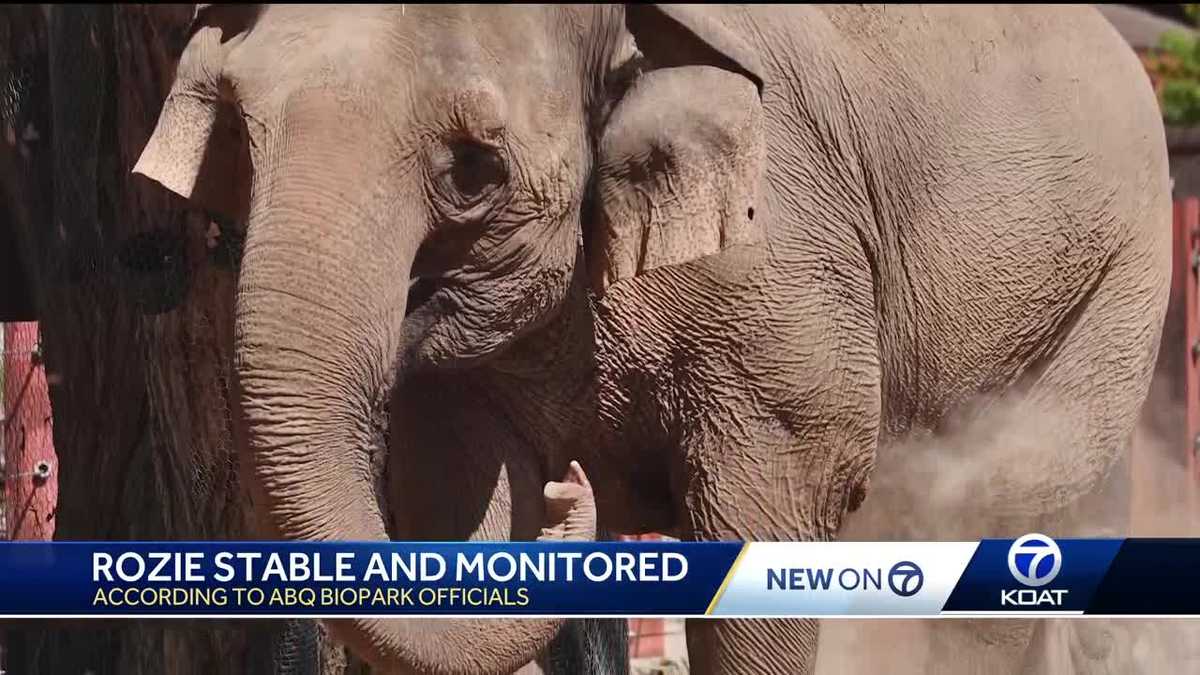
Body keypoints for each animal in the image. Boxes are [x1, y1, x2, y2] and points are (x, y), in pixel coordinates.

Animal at [129, 3, 1170, 675]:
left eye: (473, 170)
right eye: (237, 135)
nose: (568, 492)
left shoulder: (785, 264)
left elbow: (769, 517)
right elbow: (458, 509)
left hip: (1117, 283)